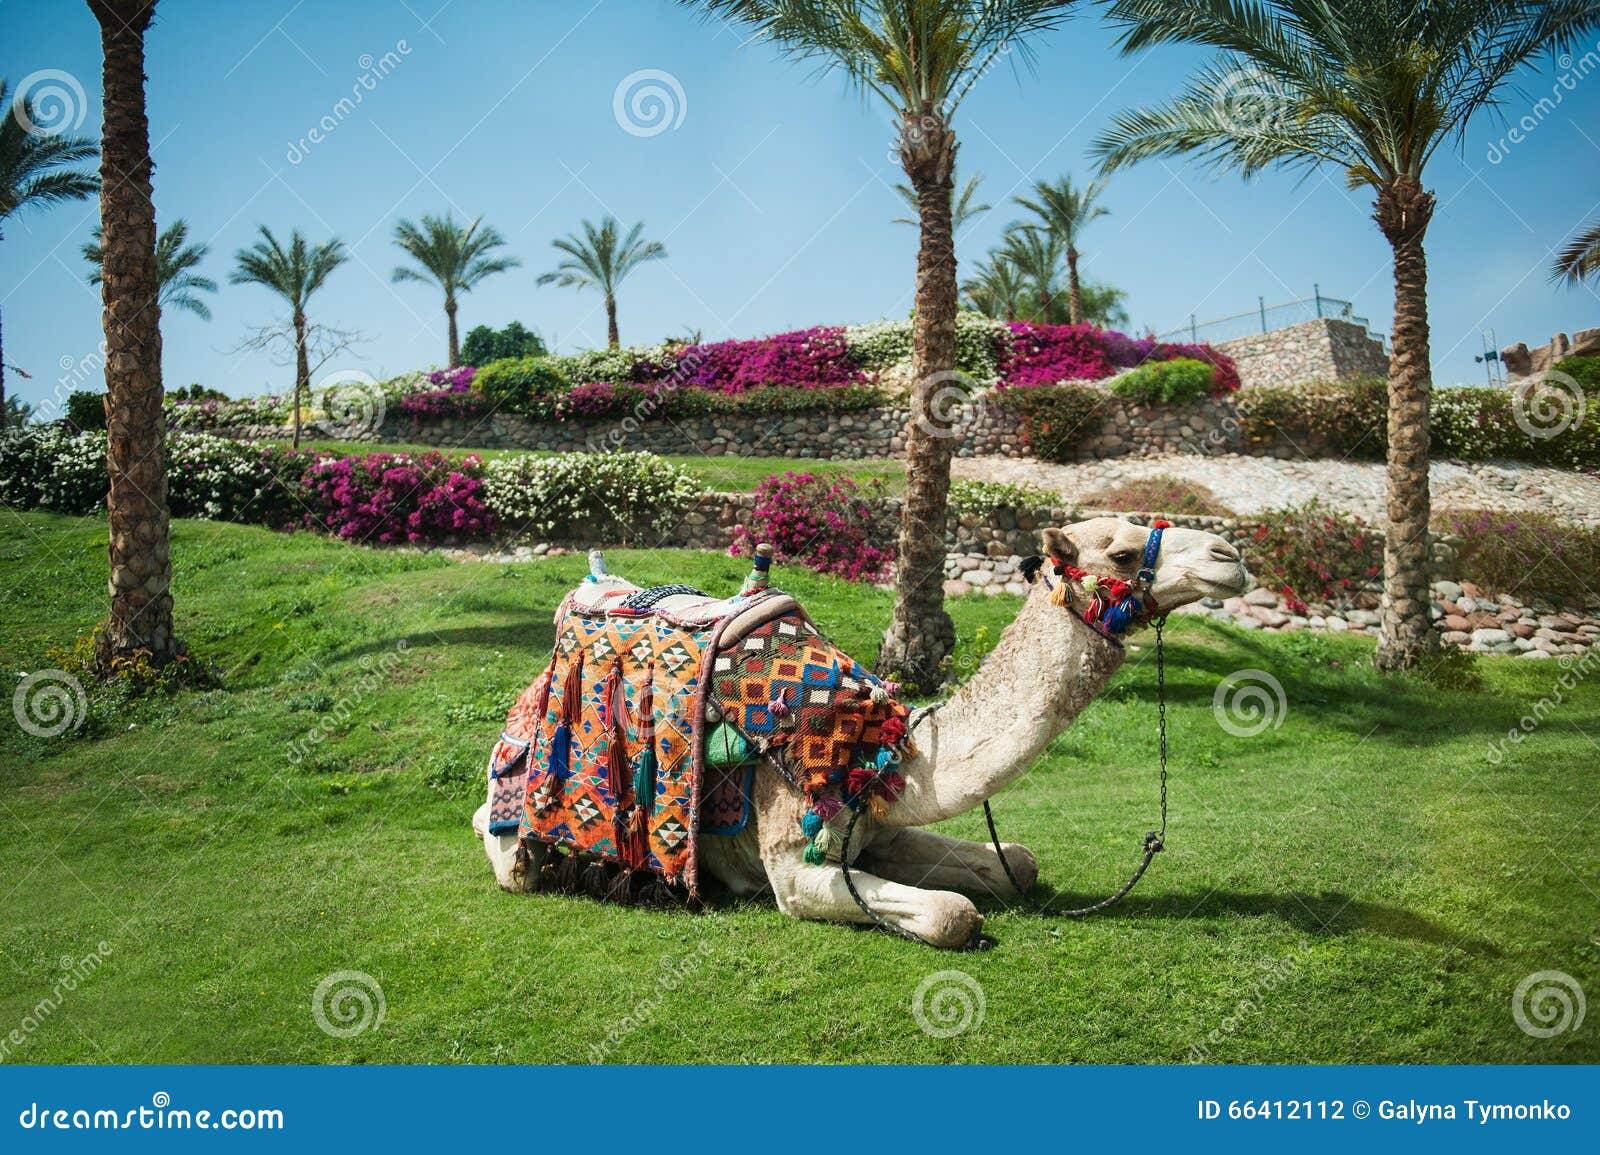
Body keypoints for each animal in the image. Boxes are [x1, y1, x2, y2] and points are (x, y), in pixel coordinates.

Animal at [472, 517, 1248, 948]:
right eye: (1119, 553)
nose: (1230, 555)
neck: (878, 747)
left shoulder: (879, 827)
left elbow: (1018, 863)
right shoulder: (793, 864)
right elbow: (954, 915)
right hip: (521, 790)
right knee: (498, 834)